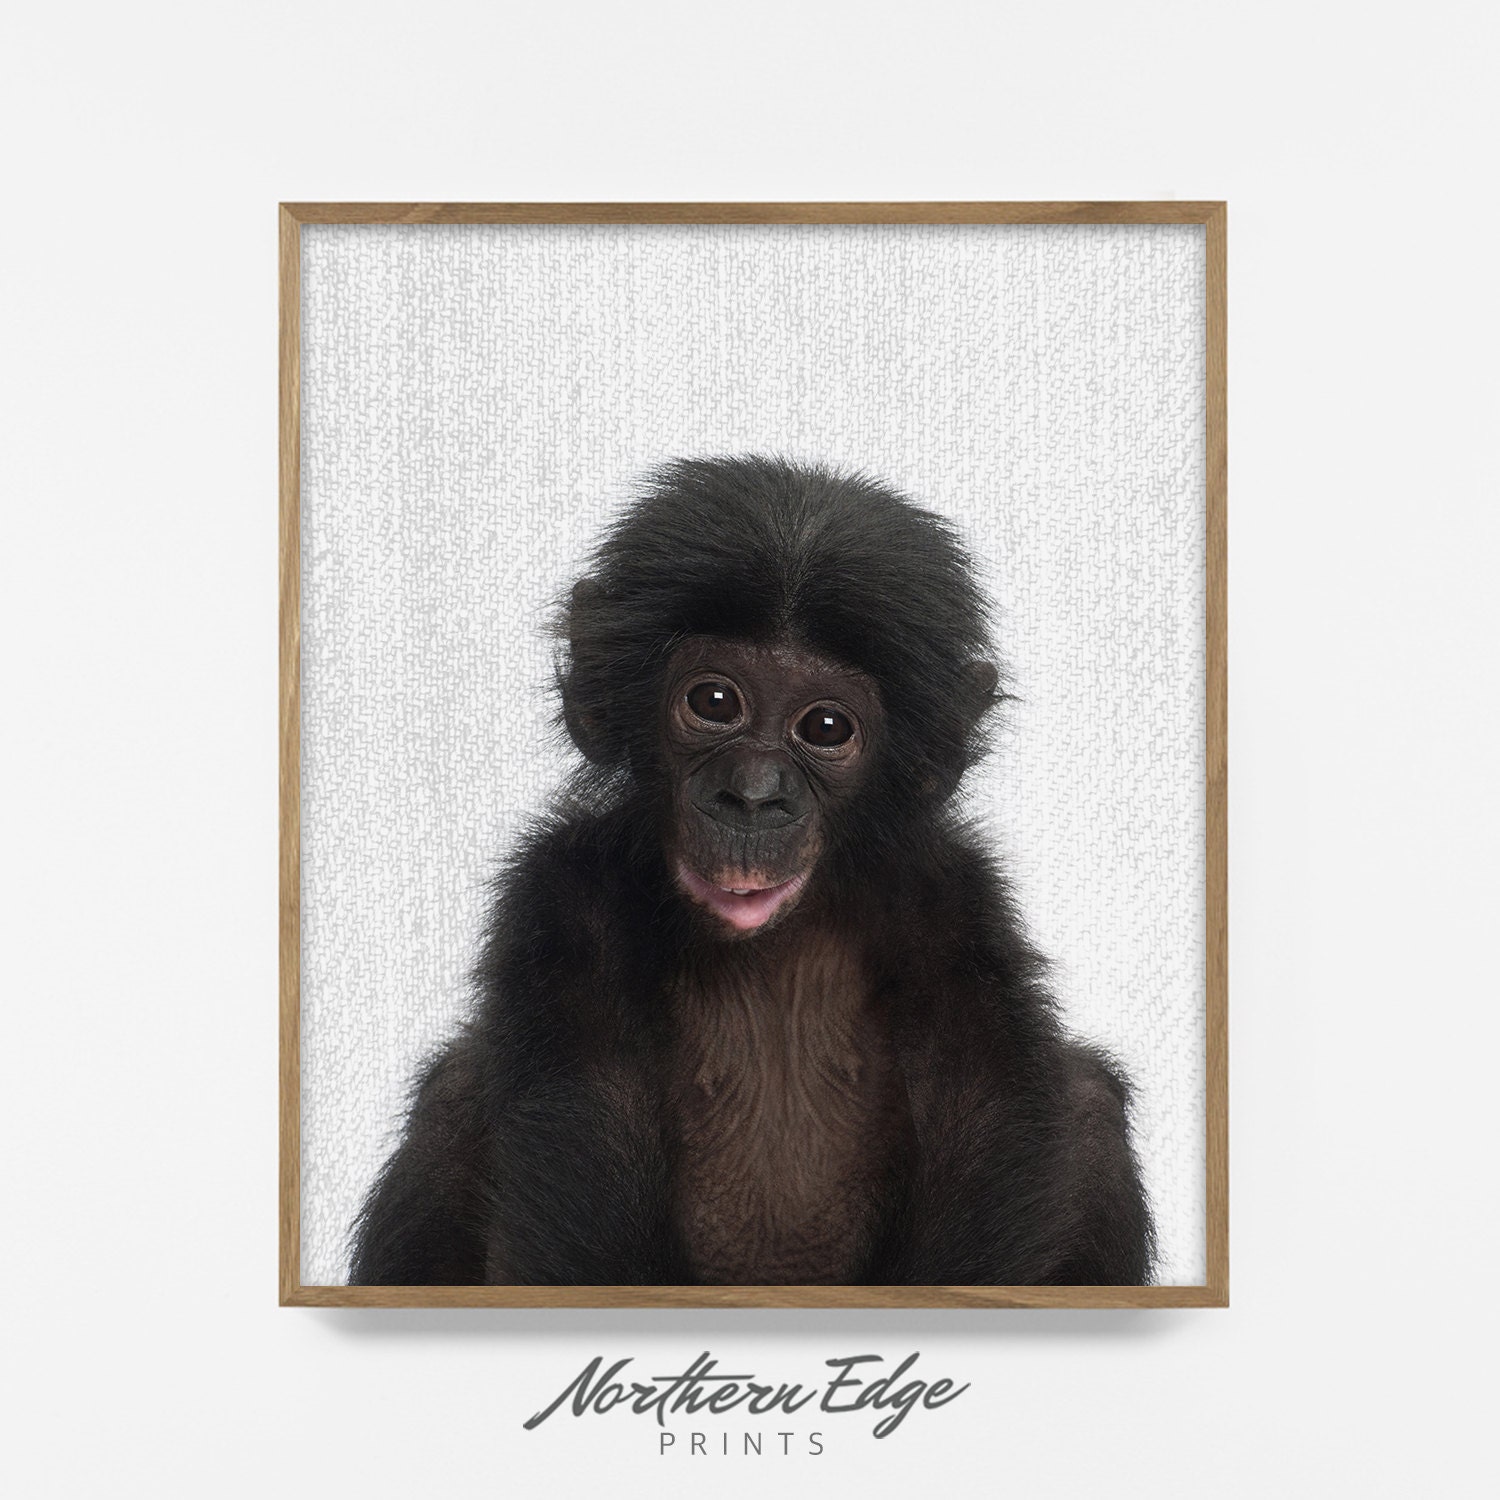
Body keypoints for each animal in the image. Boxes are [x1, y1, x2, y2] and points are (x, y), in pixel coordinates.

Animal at [349, 455, 1154, 1285]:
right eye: (714, 701)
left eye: (825, 727)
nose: (754, 794)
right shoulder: (561, 900)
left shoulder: (956, 907)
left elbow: (986, 1141)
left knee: (1088, 1106)